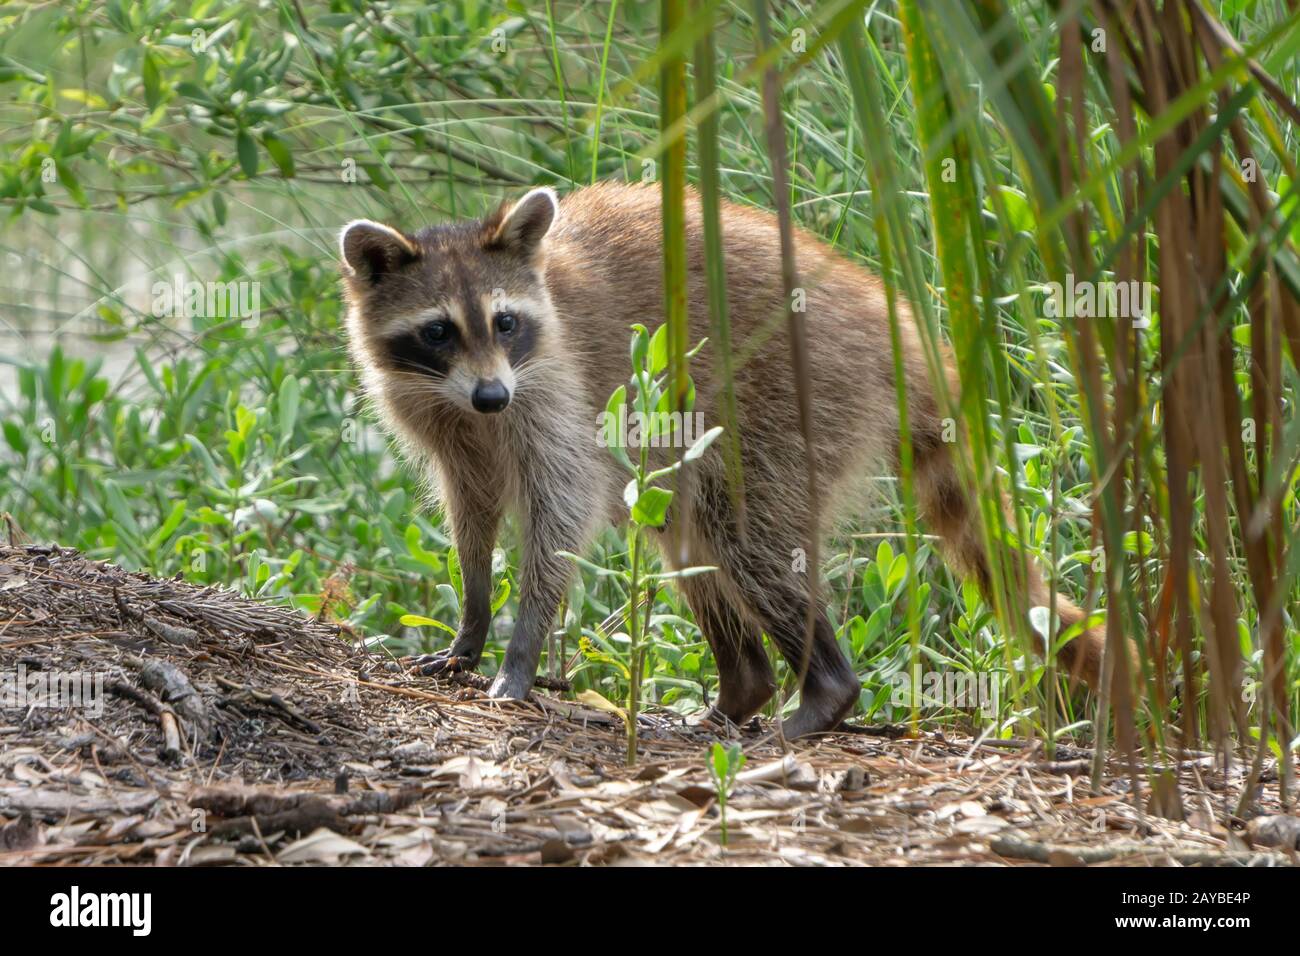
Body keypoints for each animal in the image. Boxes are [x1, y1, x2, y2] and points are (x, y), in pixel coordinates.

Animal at [340, 181, 1113, 738]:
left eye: (504, 322)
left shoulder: (556, 389)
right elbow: (470, 515)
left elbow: (561, 515)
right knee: (691, 538)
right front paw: (472, 619)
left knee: (749, 539)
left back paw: (823, 692)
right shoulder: (445, 421)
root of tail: (889, 321)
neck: (470, 401)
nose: (492, 395)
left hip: (791, 403)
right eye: (438, 331)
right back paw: (743, 689)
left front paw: (523, 645)